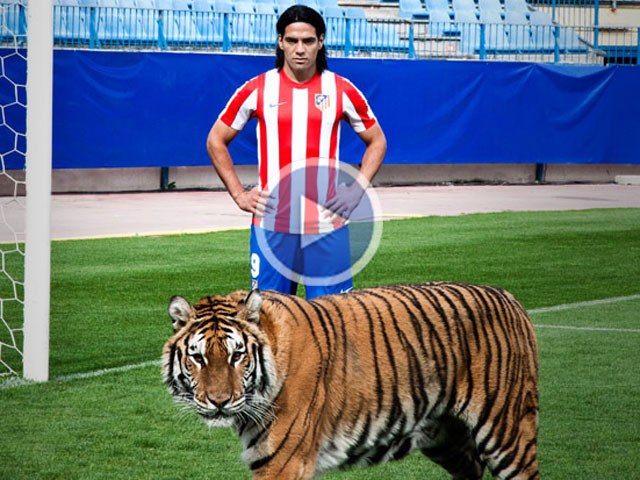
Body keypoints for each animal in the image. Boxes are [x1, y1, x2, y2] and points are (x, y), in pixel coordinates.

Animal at [162, 282, 539, 480]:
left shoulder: (282, 463)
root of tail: (510, 297)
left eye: (236, 355)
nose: (219, 401)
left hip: (508, 434)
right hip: (446, 437)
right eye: (199, 358)